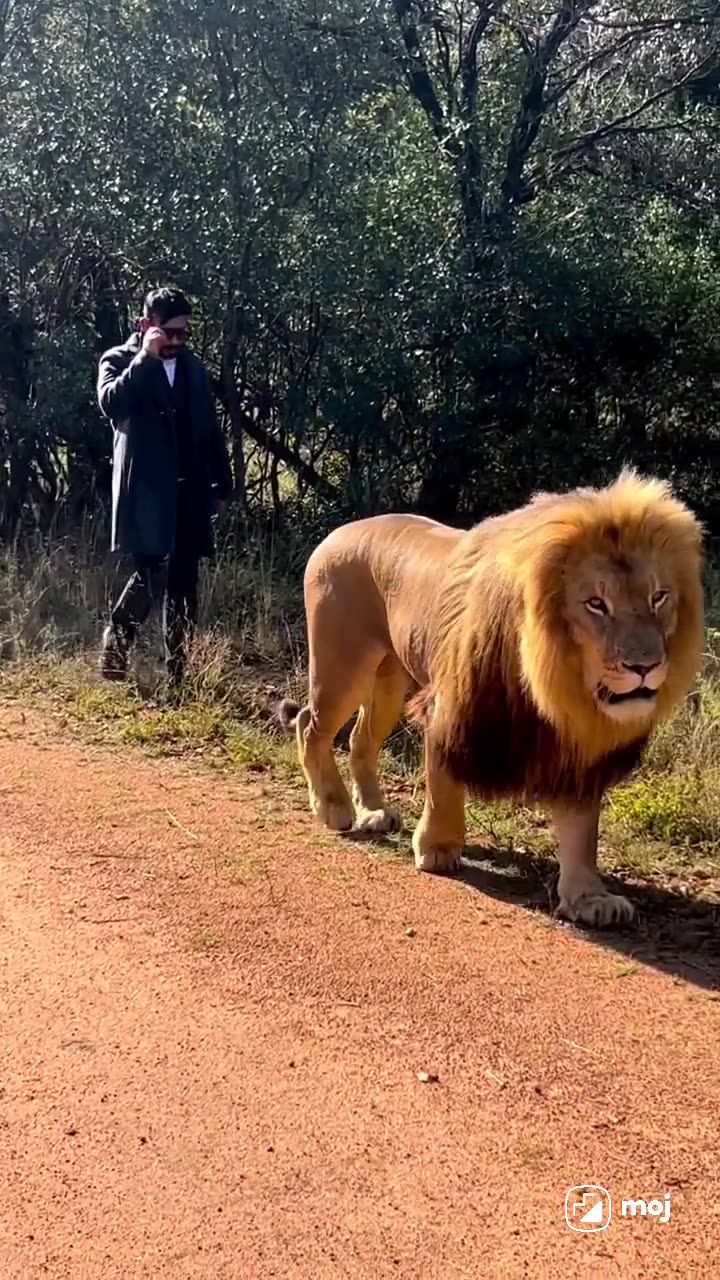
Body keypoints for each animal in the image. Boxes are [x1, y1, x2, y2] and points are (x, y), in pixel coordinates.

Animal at [278, 470, 704, 928]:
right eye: (596, 604)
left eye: (658, 597)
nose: (646, 666)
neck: (554, 681)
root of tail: (338, 531)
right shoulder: (450, 708)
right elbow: (444, 785)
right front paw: (438, 848)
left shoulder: (577, 742)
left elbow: (581, 827)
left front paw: (588, 898)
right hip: (344, 668)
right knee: (309, 725)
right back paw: (333, 808)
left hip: (388, 681)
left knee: (359, 739)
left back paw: (374, 811)